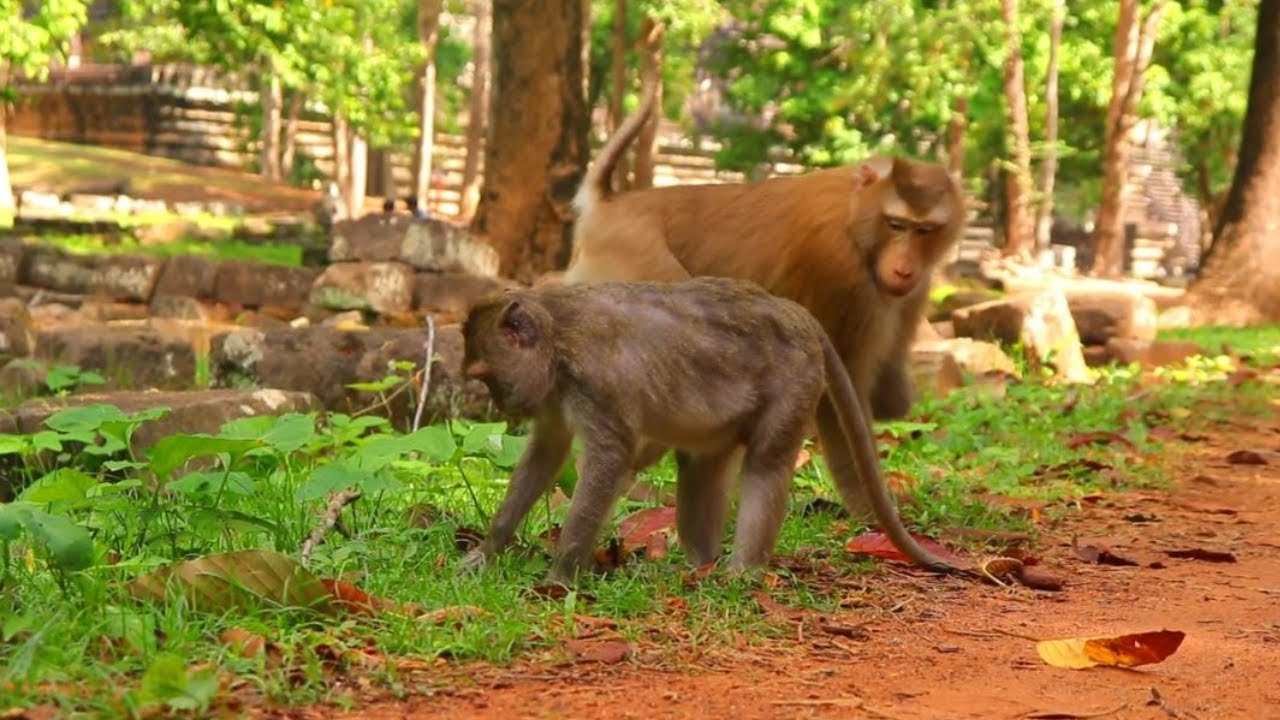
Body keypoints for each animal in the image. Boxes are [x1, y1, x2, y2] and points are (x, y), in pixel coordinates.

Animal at [457, 277, 957, 585]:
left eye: (486, 376)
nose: (500, 405)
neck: (557, 332)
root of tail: (796, 314)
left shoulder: (595, 383)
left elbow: (609, 460)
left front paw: (559, 578)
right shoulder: (556, 393)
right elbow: (545, 454)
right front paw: (487, 550)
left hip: (796, 382)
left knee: (766, 465)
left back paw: (741, 573)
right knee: (700, 467)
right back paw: (700, 567)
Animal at [561, 84, 965, 519]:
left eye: (925, 230)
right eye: (896, 225)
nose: (904, 268)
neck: (858, 221)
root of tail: (609, 208)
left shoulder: (913, 290)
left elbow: (888, 390)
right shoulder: (841, 277)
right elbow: (842, 397)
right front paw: (872, 508)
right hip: (633, 273)